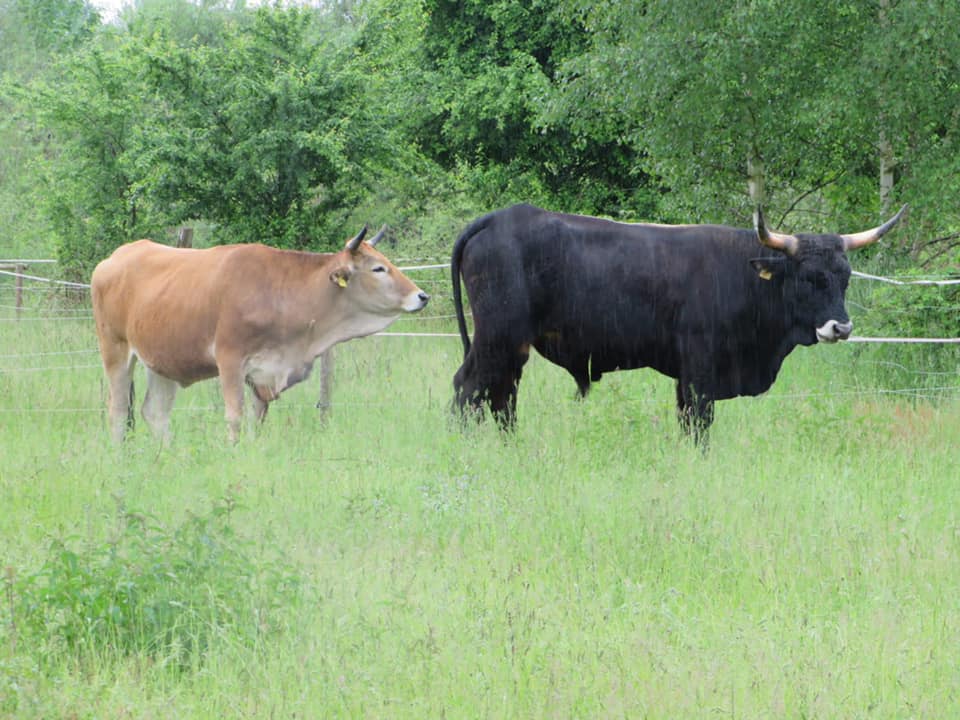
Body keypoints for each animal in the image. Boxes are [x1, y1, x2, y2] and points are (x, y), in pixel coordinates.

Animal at [91, 226, 429, 442]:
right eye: (378, 268)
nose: (421, 296)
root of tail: (115, 257)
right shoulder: (230, 361)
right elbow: (234, 418)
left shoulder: (264, 374)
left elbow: (256, 420)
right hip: (116, 350)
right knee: (117, 411)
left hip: (161, 362)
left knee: (155, 412)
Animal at [451, 202, 907, 442]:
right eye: (810, 277)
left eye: (844, 276)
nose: (840, 328)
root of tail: (500, 217)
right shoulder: (699, 371)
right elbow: (699, 424)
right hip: (496, 338)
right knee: (470, 389)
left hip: (511, 347)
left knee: (500, 395)